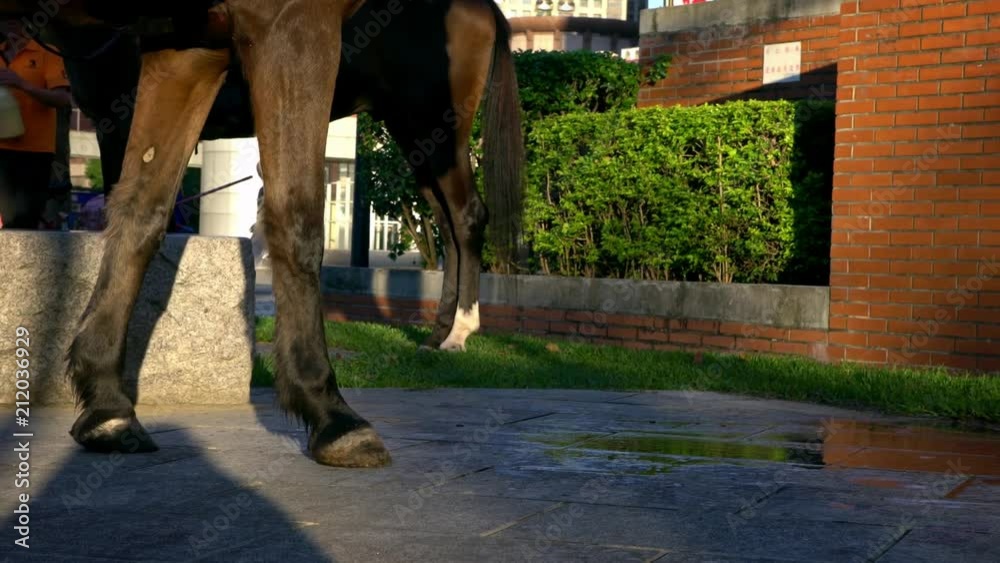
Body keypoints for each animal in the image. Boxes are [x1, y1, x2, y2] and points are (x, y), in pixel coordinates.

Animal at [1, 0, 525, 468]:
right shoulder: (176, 63)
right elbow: (137, 212)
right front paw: (108, 407)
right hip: (419, 131)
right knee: (446, 219)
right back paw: (442, 331)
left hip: (431, 123)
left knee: (465, 216)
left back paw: (459, 331)